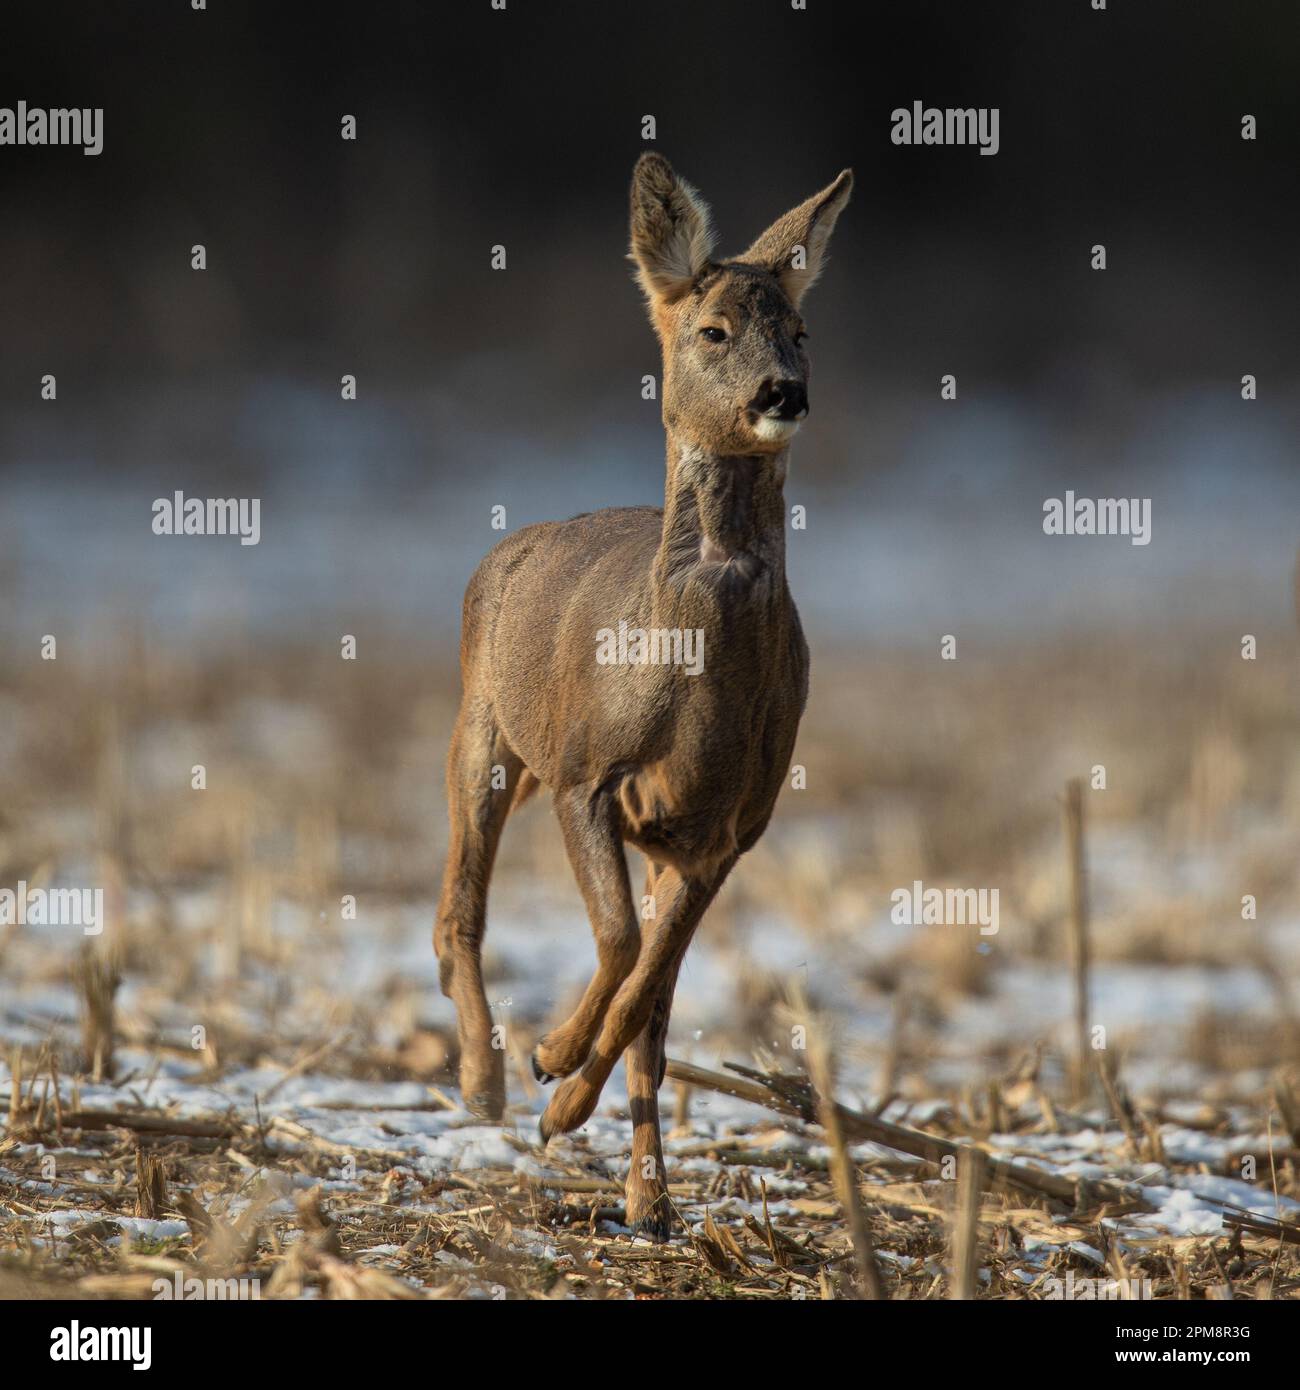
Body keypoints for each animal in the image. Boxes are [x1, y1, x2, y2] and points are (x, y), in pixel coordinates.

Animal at [434, 152, 852, 1239]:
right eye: (712, 330)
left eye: (801, 329)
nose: (785, 391)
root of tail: (513, 542)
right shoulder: (587, 773)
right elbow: (620, 943)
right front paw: (548, 1062)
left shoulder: (727, 829)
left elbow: (647, 1002)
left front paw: (573, 1099)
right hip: (484, 731)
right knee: (459, 906)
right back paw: (484, 1082)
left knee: (649, 1011)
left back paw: (644, 1192)